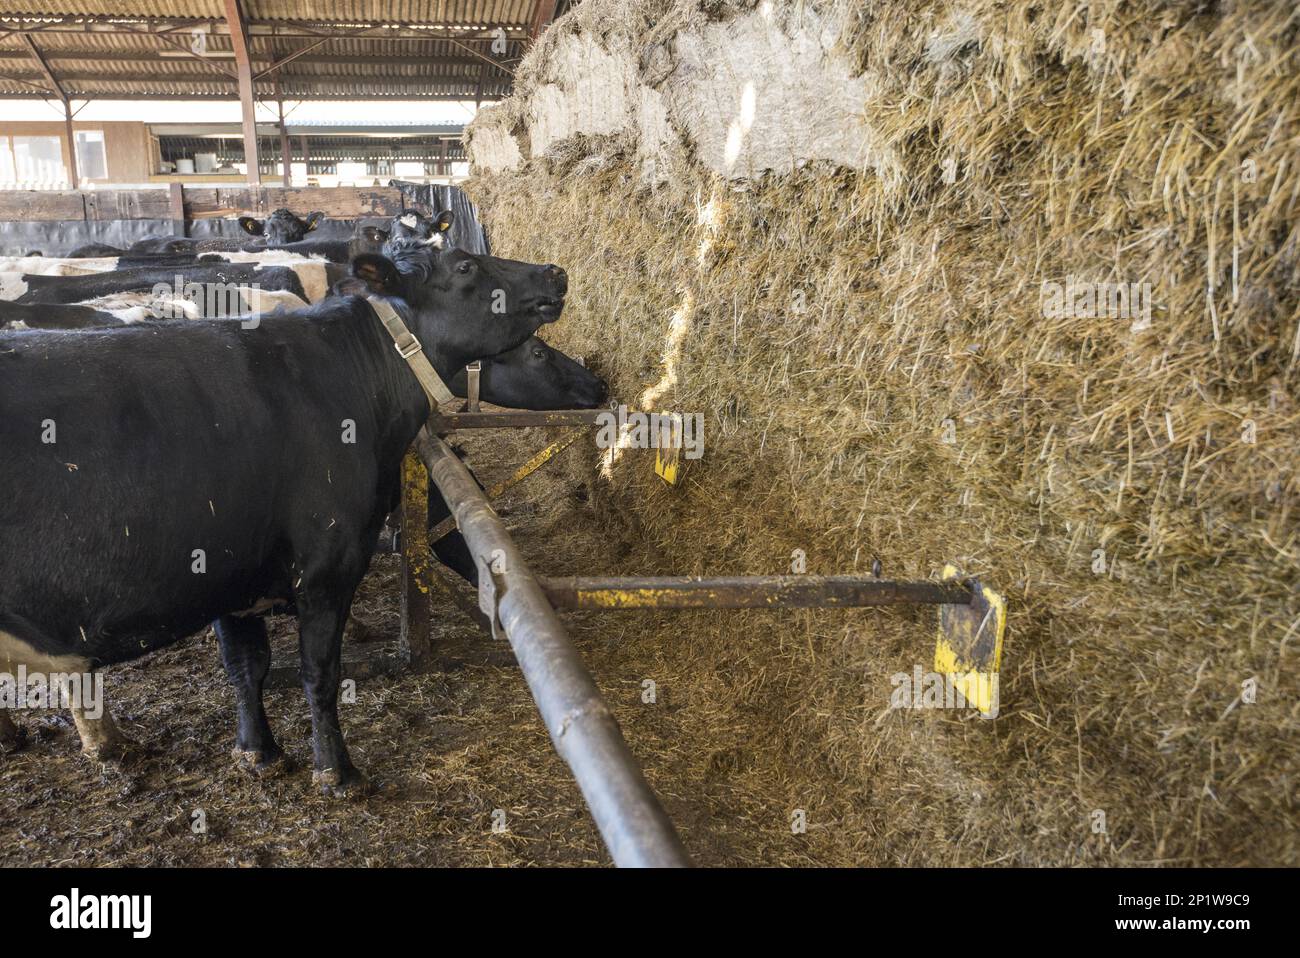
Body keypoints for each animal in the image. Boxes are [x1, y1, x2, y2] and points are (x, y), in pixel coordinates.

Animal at [0, 211, 567, 794]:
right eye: (465, 265)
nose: (555, 270)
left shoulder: (226, 571)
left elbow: (246, 666)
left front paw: (258, 751)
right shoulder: (326, 565)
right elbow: (320, 672)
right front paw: (336, 769)